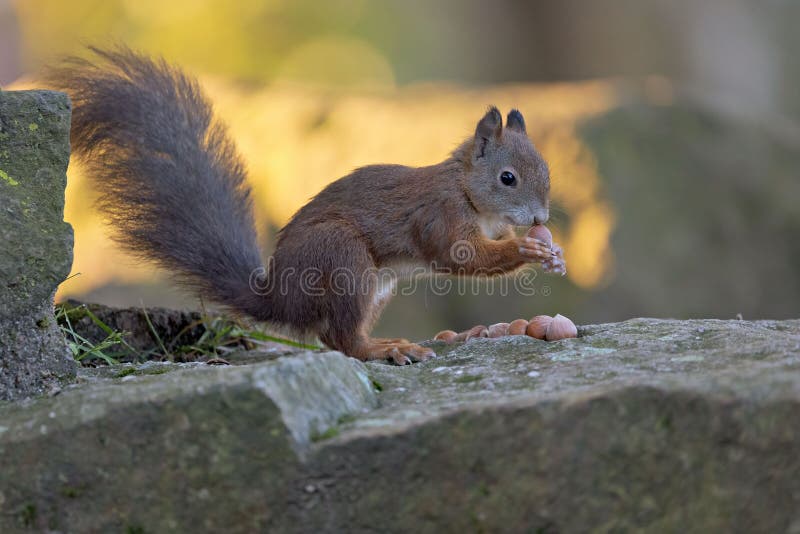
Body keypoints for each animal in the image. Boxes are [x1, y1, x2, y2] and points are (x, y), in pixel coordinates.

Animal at [48, 47, 565, 365]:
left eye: (546, 171)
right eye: (507, 178)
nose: (540, 220)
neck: (468, 191)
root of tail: (281, 297)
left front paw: (551, 254)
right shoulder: (440, 215)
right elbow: (461, 257)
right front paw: (529, 251)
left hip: (375, 286)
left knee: (333, 339)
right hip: (342, 258)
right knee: (342, 341)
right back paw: (383, 350)